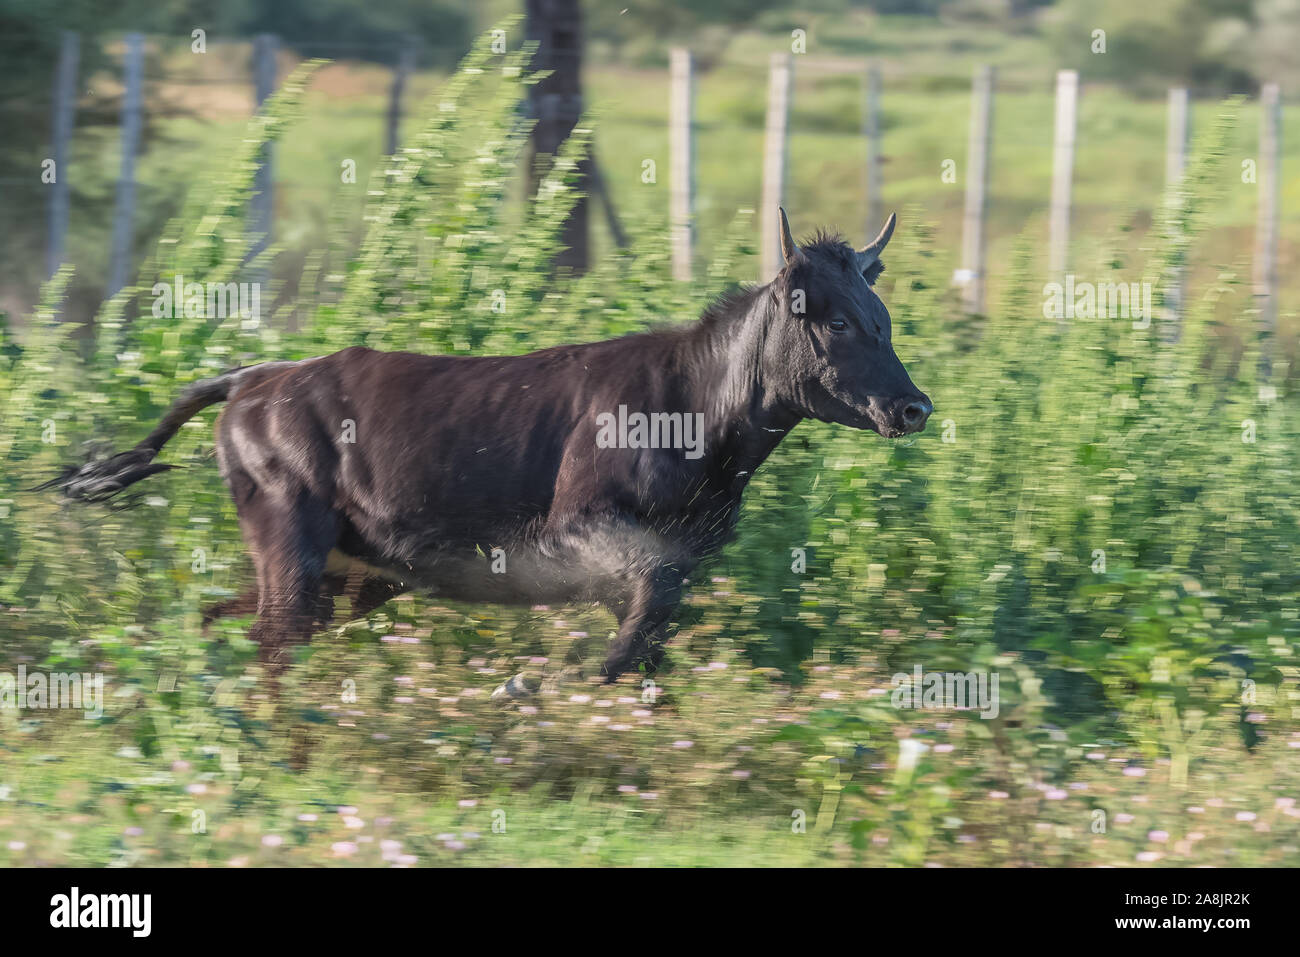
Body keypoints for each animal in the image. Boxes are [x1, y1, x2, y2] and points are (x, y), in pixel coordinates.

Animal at [40, 209, 932, 692]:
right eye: (833, 319)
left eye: (882, 317)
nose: (914, 406)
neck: (698, 414)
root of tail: (254, 375)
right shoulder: (577, 526)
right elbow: (647, 606)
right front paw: (530, 687)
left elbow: (652, 632)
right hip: (293, 540)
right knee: (270, 639)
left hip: (352, 573)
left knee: (226, 619)